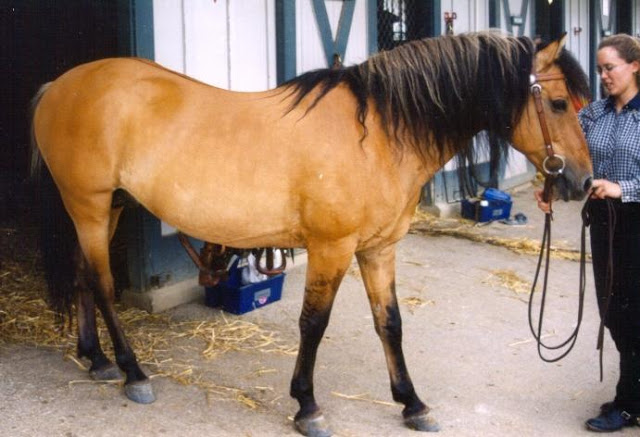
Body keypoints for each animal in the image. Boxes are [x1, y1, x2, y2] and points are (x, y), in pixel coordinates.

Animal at [30, 32, 593, 436]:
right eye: (559, 103)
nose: (583, 183)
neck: (379, 135)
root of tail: (57, 87)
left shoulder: (378, 249)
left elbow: (390, 324)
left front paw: (412, 403)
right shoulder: (331, 249)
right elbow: (313, 325)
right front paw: (307, 406)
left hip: (106, 207)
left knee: (82, 277)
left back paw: (97, 360)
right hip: (88, 205)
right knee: (102, 285)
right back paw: (134, 373)